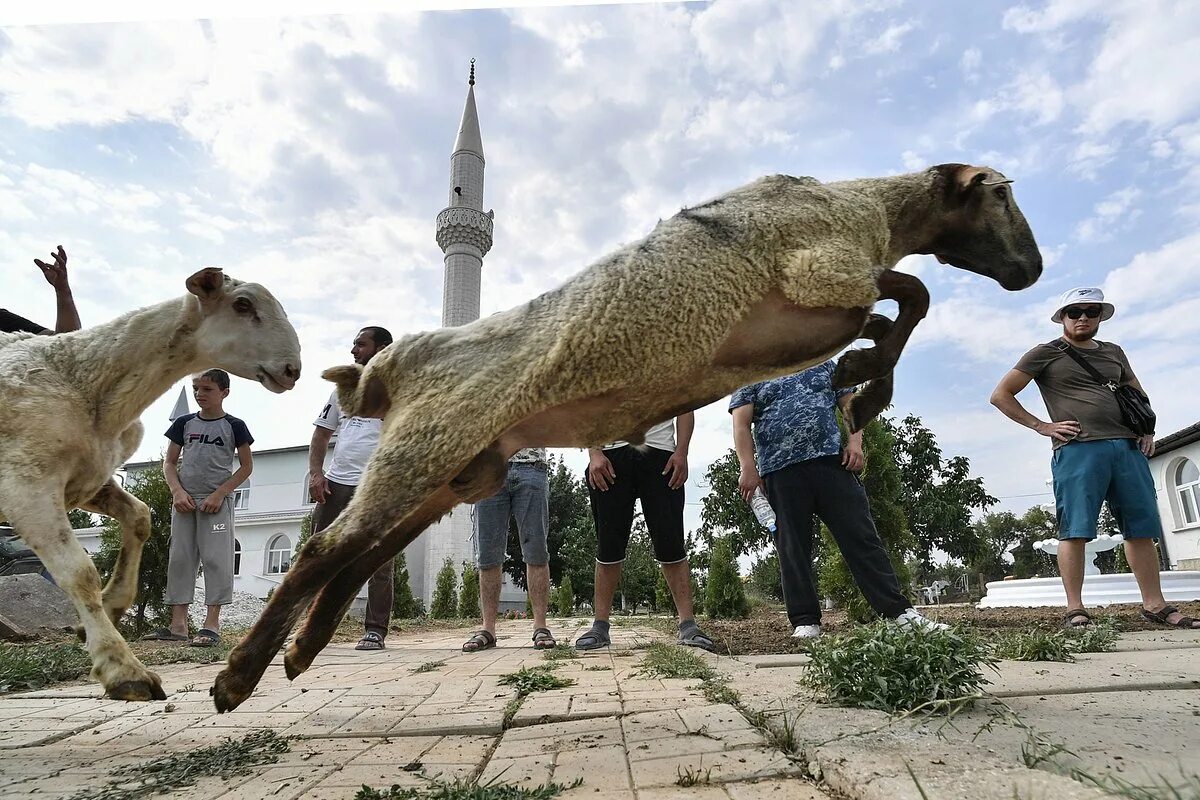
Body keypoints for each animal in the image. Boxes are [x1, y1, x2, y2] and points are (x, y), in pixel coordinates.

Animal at [0, 272, 300, 705]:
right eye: (242, 305)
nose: (293, 369)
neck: (90, 385)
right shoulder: (26, 484)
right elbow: (79, 572)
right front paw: (124, 671)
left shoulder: (89, 479)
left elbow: (140, 516)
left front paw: (113, 604)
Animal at [213, 164, 1041, 714]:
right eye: (1000, 193)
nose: (1033, 269)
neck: (864, 204)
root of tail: (394, 366)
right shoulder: (822, 278)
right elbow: (908, 294)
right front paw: (865, 384)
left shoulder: (813, 314)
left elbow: (900, 307)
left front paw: (861, 383)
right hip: (426, 450)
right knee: (323, 548)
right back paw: (238, 676)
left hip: (459, 473)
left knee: (358, 557)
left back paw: (299, 653)